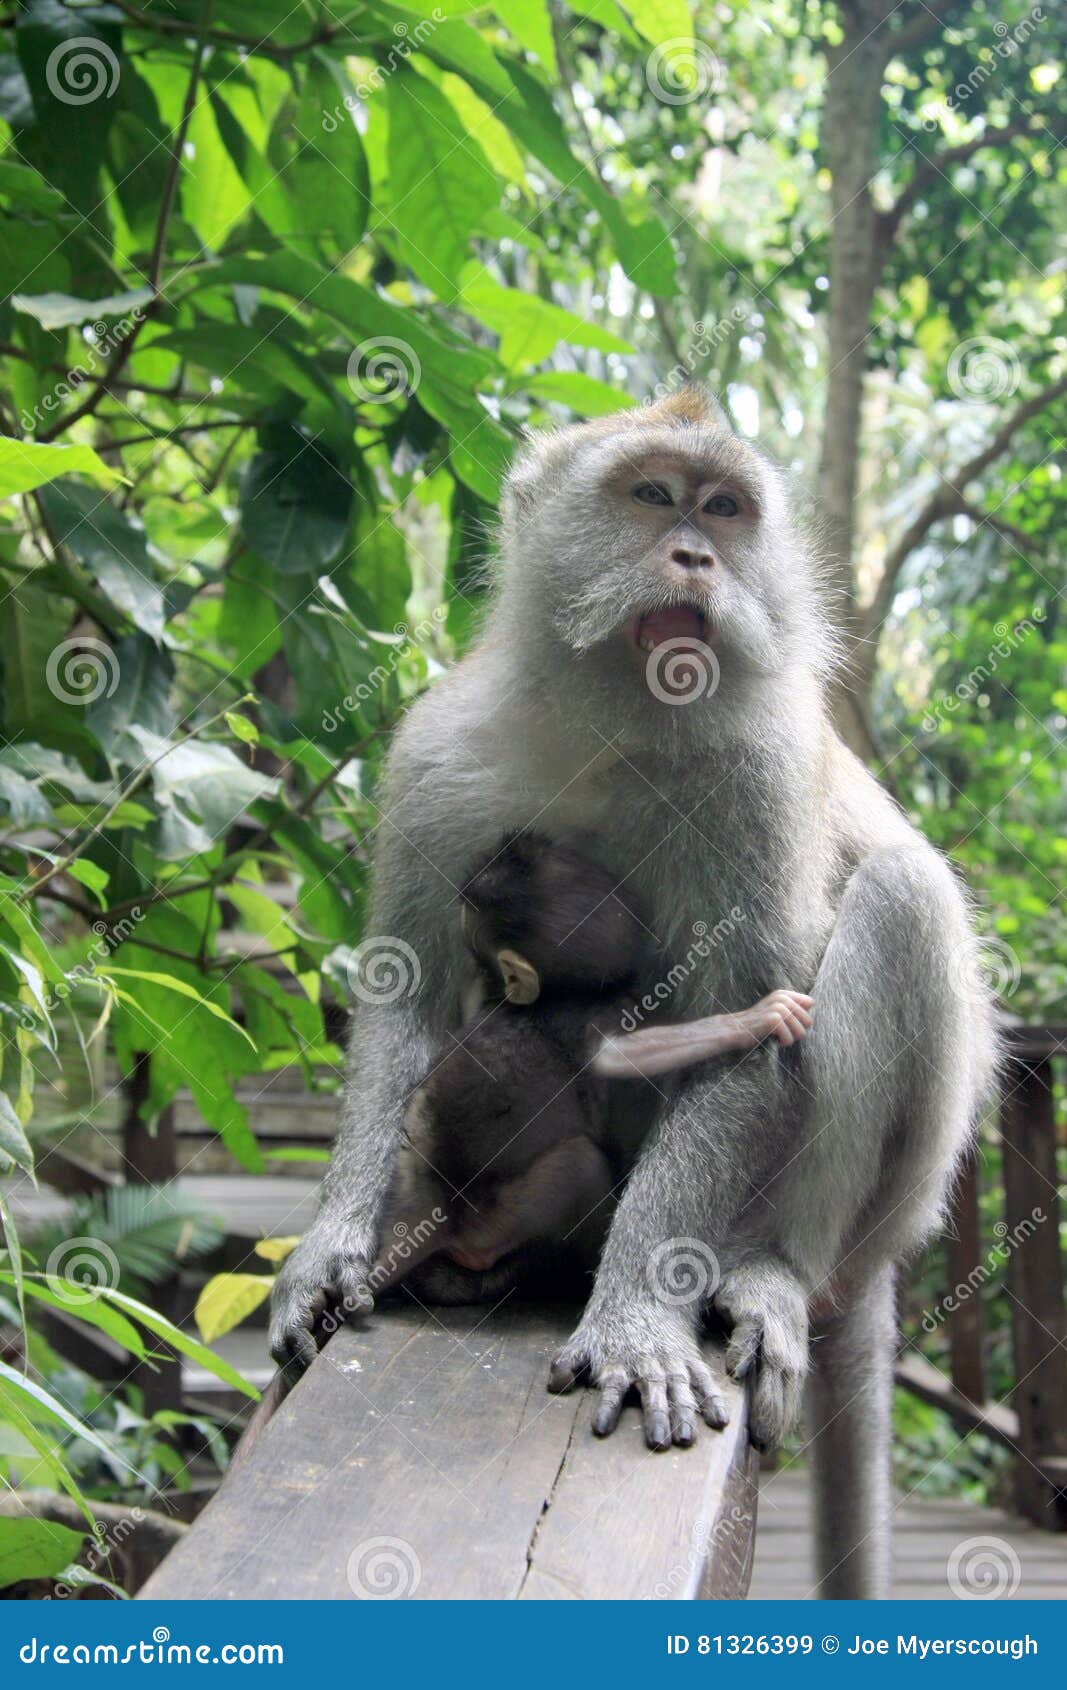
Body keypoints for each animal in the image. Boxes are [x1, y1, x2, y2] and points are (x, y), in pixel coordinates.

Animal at [270, 383, 997, 1599]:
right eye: (653, 495)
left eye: (727, 509)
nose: (695, 555)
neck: (615, 707)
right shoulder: (437, 755)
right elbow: (406, 997)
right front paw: (332, 1241)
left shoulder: (757, 771)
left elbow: (749, 1032)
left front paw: (633, 1322)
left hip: (890, 1208)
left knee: (900, 900)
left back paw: (768, 1273)